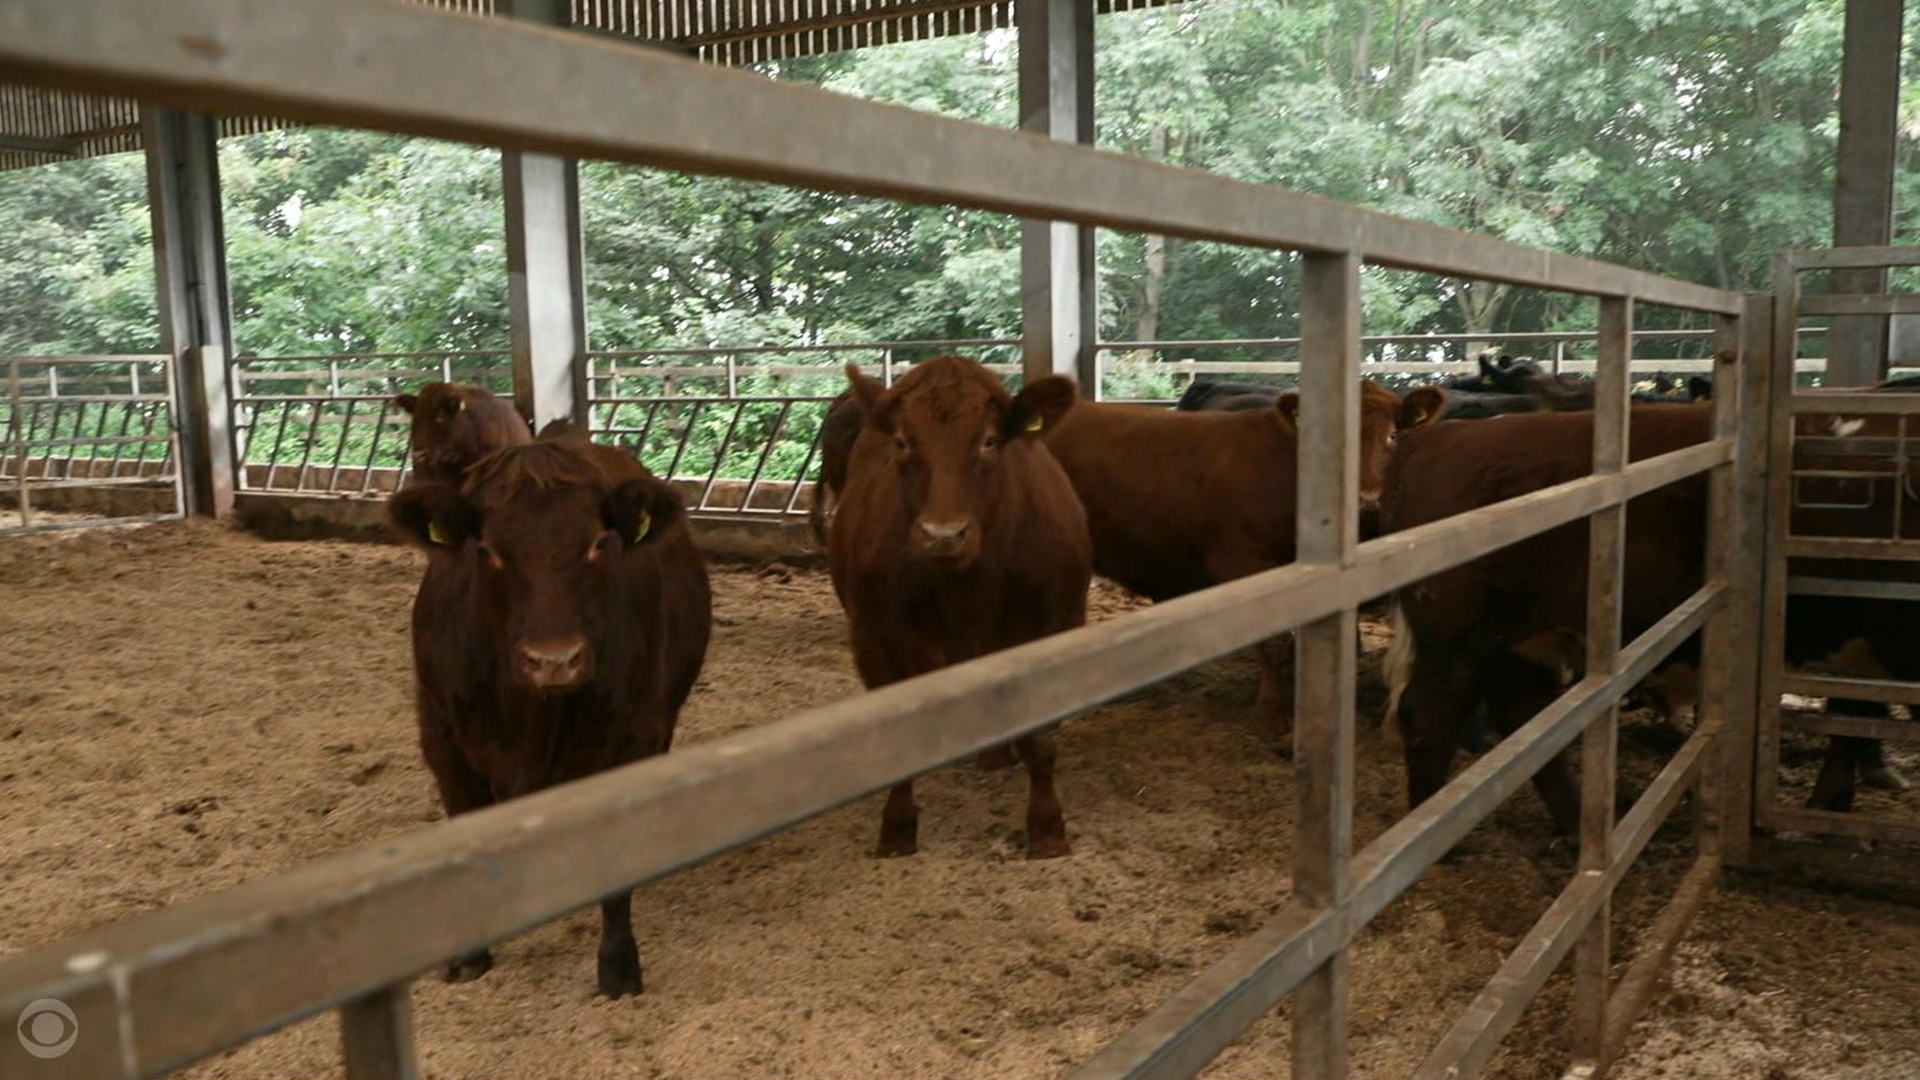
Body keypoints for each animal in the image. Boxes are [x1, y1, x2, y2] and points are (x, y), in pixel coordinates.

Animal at [388, 424, 712, 997]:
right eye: (486, 548)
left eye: (599, 543)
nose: (554, 659)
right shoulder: (443, 743)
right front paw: (470, 957)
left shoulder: (633, 739)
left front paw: (618, 967)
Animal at [825, 356, 1092, 860]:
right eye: (902, 442)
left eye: (989, 440)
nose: (943, 534)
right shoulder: (874, 639)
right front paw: (896, 829)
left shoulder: (1052, 628)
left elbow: (1040, 738)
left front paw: (1047, 829)